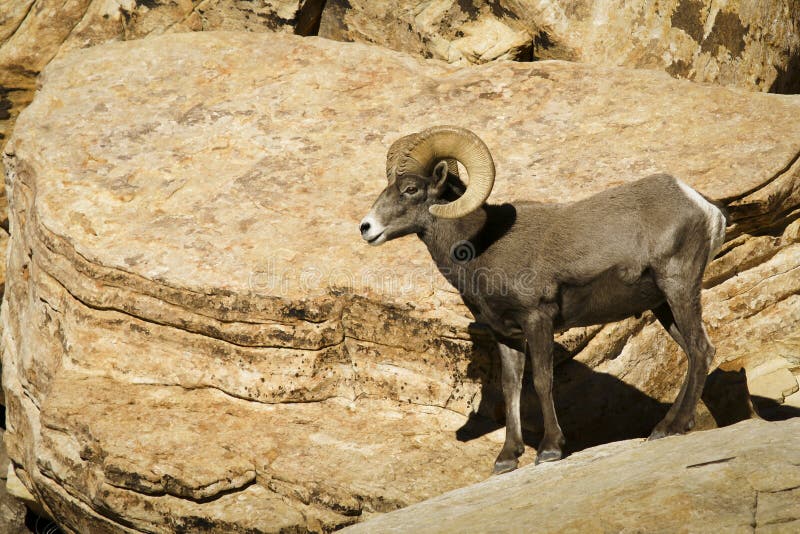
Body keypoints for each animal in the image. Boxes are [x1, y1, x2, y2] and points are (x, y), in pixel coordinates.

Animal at [359, 126, 727, 474]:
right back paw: (664, 428)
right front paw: (507, 458)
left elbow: (541, 381)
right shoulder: (505, 334)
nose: (366, 228)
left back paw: (675, 426)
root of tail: (704, 207)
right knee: (696, 353)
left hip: (678, 287)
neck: (481, 248)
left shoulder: (538, 319)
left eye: (410, 189)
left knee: (699, 348)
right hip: (661, 306)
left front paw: (550, 449)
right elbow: (511, 388)